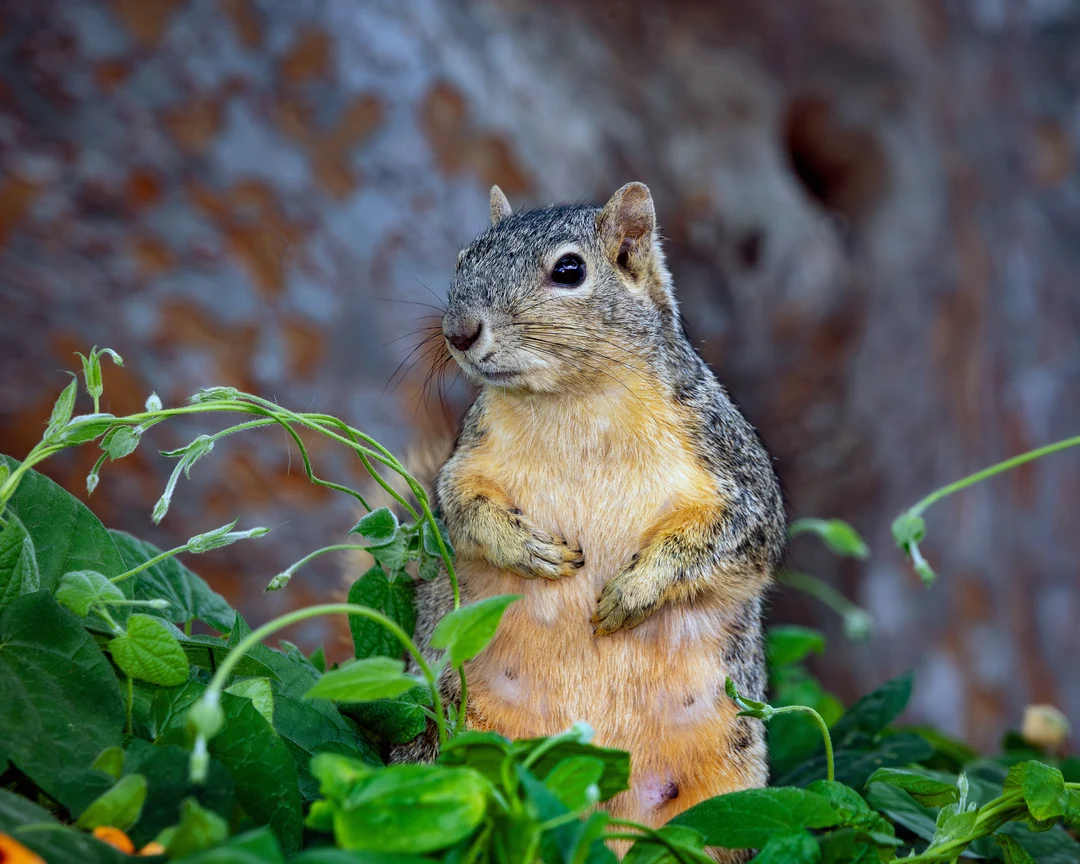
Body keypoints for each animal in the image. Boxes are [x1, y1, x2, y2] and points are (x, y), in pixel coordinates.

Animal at [381, 183, 786, 861]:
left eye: (569, 270)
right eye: (464, 256)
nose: (458, 332)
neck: (574, 401)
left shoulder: (730, 466)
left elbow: (735, 537)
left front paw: (632, 592)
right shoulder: (466, 461)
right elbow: (458, 511)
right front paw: (526, 550)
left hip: (725, 786)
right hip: (451, 737)